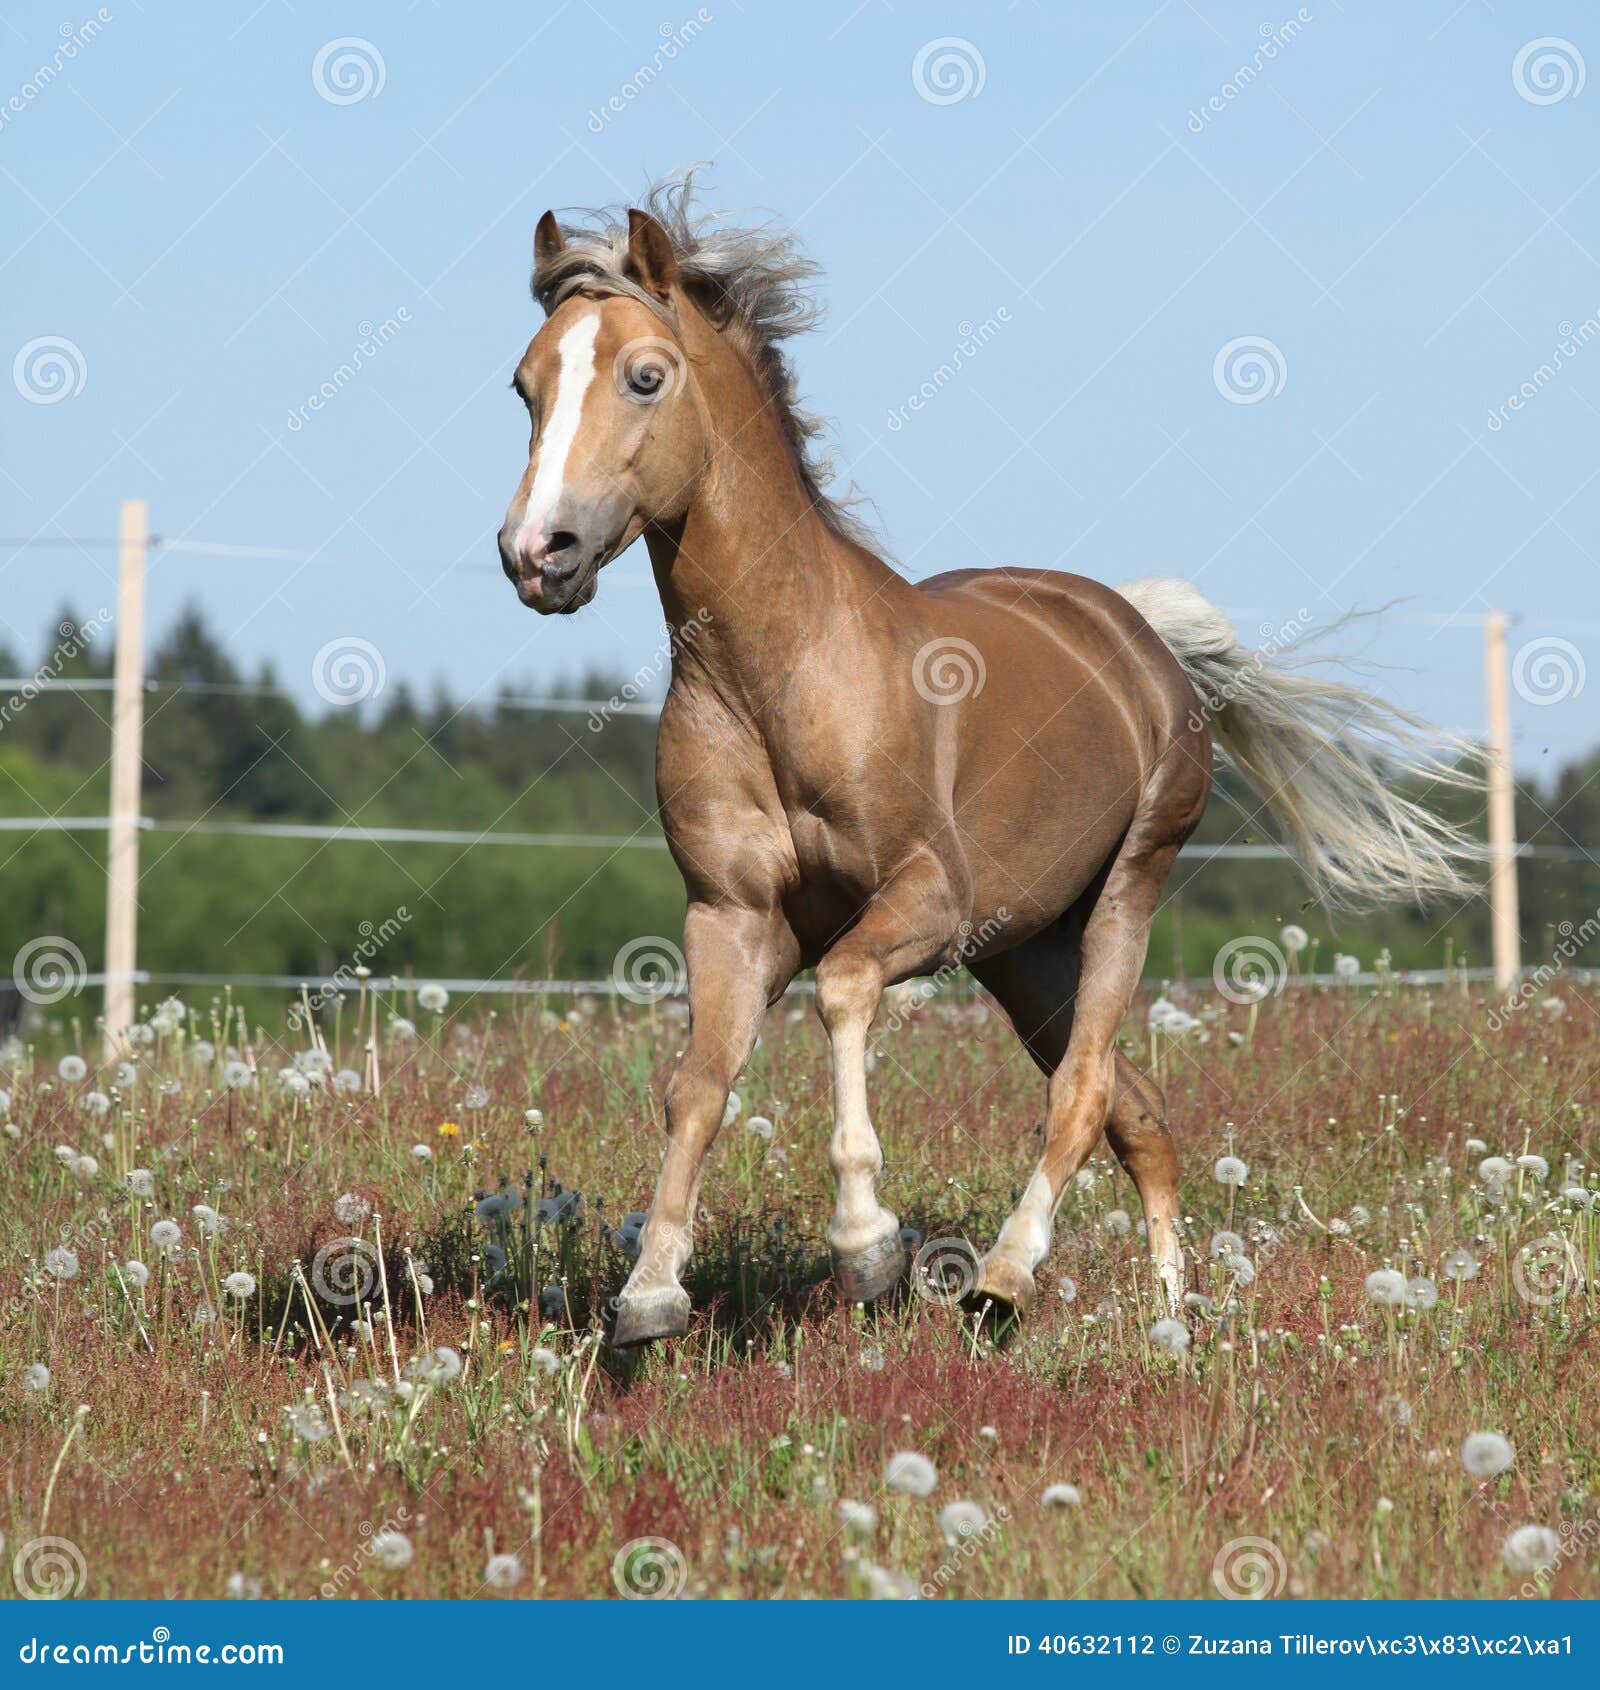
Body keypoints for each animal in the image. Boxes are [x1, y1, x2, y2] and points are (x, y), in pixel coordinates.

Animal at [496, 178, 1479, 1346]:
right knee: (1140, 1115)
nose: (537, 553)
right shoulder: (730, 914)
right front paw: (649, 1291)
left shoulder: (926, 899)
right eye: (524, 386)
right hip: (1025, 950)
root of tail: (1138, 637)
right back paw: (1168, 1319)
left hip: (1122, 897)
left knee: (1085, 1092)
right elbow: (697, 1083)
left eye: (646, 376)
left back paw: (1007, 1275)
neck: (774, 677)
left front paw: (865, 1246)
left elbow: (842, 992)